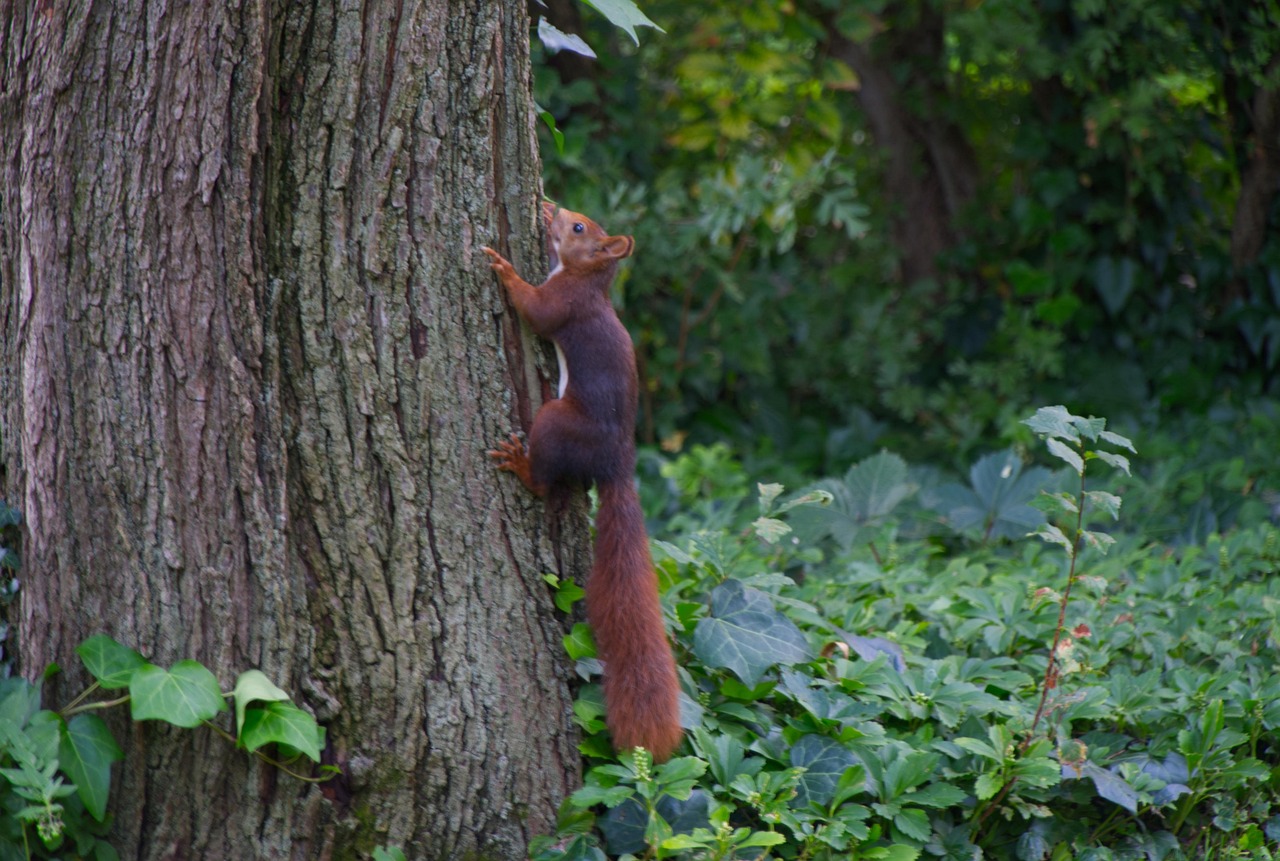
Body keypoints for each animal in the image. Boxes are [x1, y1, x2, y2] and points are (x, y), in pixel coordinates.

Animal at [482, 202, 682, 762]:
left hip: (556, 421)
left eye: (577, 228)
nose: (551, 207)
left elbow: (535, 311)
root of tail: (617, 464)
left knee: (544, 483)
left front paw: (504, 268)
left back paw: (521, 465)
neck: (590, 280)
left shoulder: (564, 305)